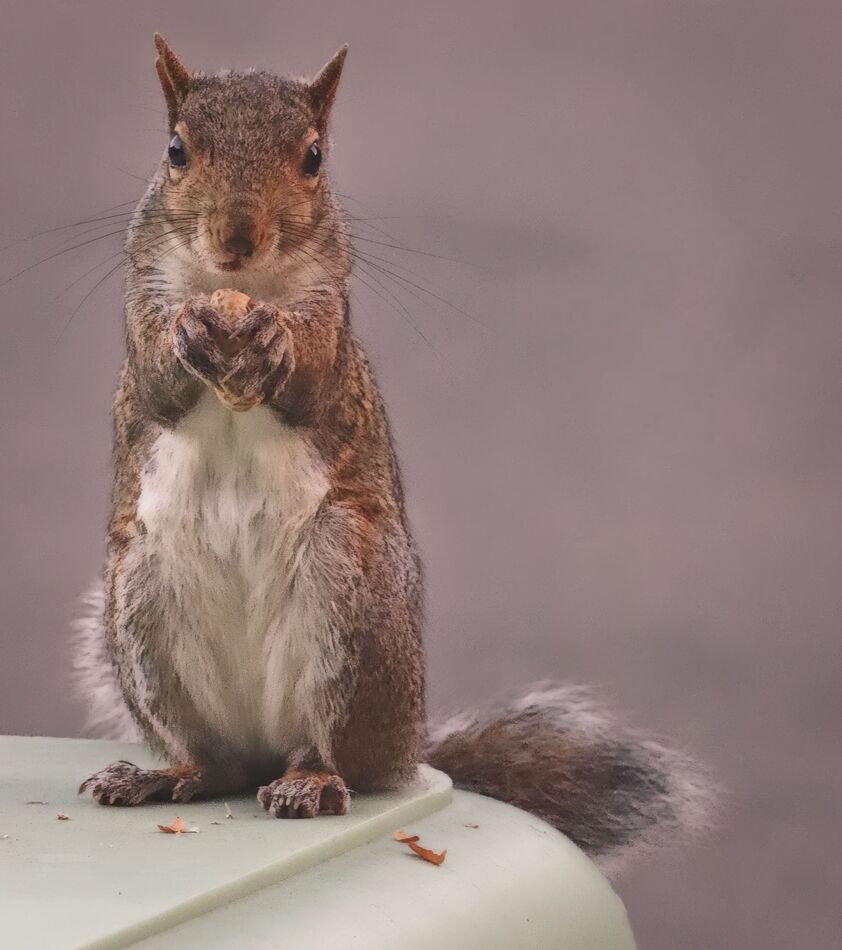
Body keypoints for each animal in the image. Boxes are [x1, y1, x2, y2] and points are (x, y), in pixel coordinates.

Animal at [74, 34, 713, 872]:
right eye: (176, 149)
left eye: (314, 157)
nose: (237, 238)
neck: (240, 291)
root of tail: (405, 745)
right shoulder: (140, 305)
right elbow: (155, 377)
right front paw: (188, 334)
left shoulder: (333, 323)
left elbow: (313, 374)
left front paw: (277, 344)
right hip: (142, 601)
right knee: (213, 762)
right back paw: (164, 776)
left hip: (352, 595)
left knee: (335, 754)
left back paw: (312, 781)